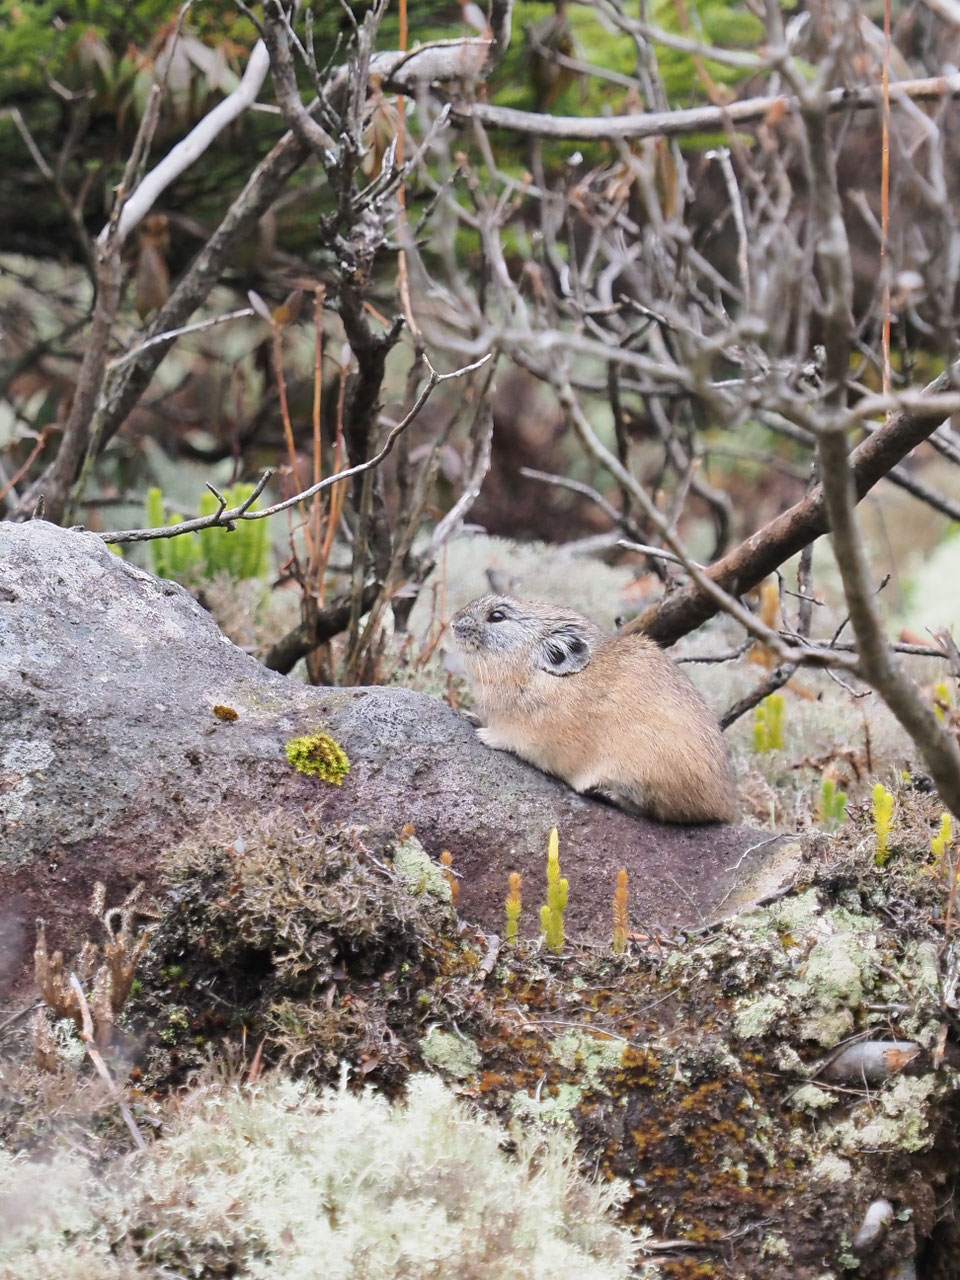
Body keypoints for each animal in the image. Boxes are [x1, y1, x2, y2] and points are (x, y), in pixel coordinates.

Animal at [450, 594, 738, 824]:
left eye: (497, 616)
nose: (453, 621)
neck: (538, 676)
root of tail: (724, 805)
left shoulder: (527, 734)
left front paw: (483, 734)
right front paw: (471, 715)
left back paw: (602, 792)